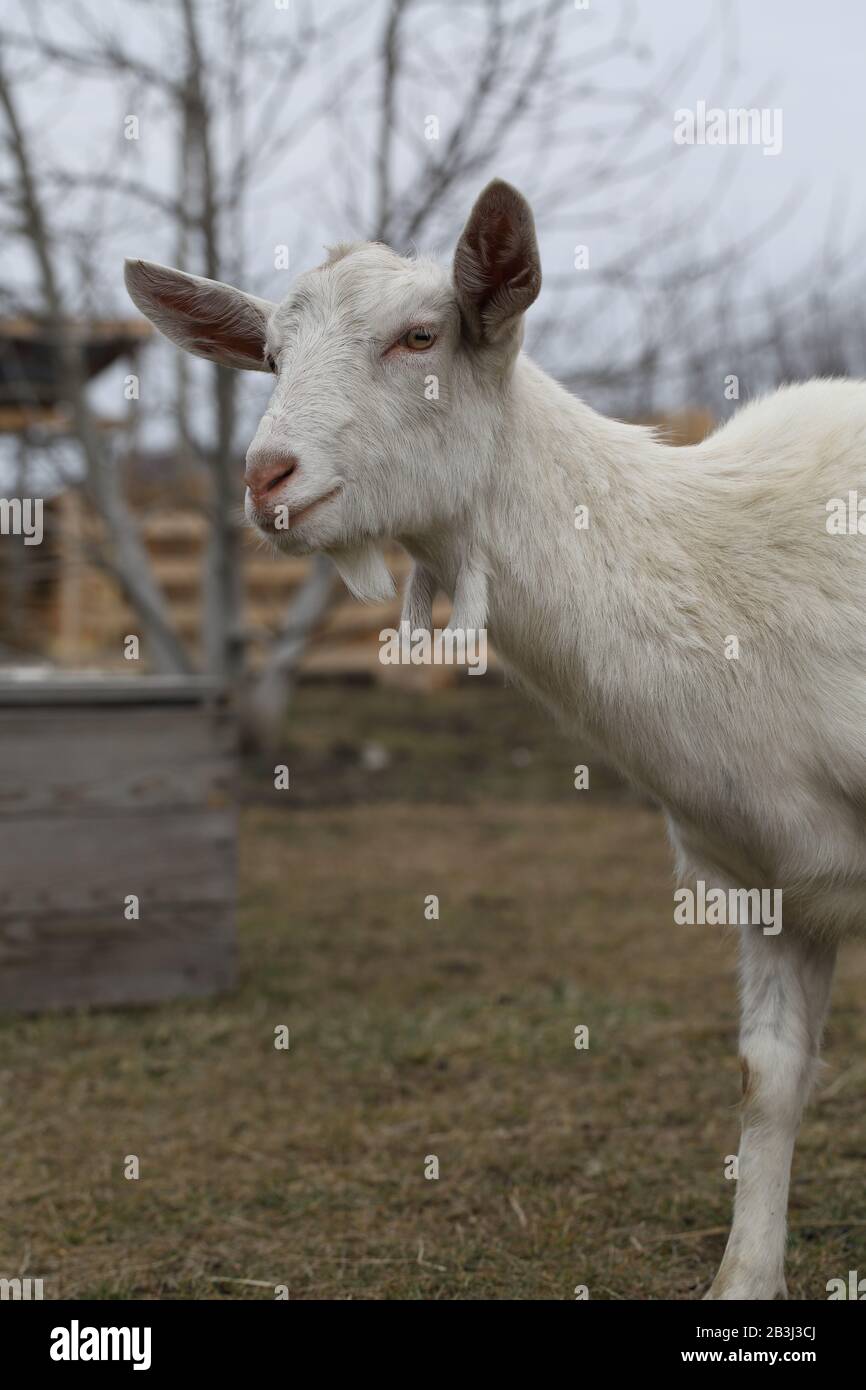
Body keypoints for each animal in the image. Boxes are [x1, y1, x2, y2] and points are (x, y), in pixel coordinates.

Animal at [125, 178, 866, 1300]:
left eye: (419, 335)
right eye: (270, 356)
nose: (266, 478)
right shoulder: (769, 875)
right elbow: (768, 1076)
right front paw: (742, 1279)